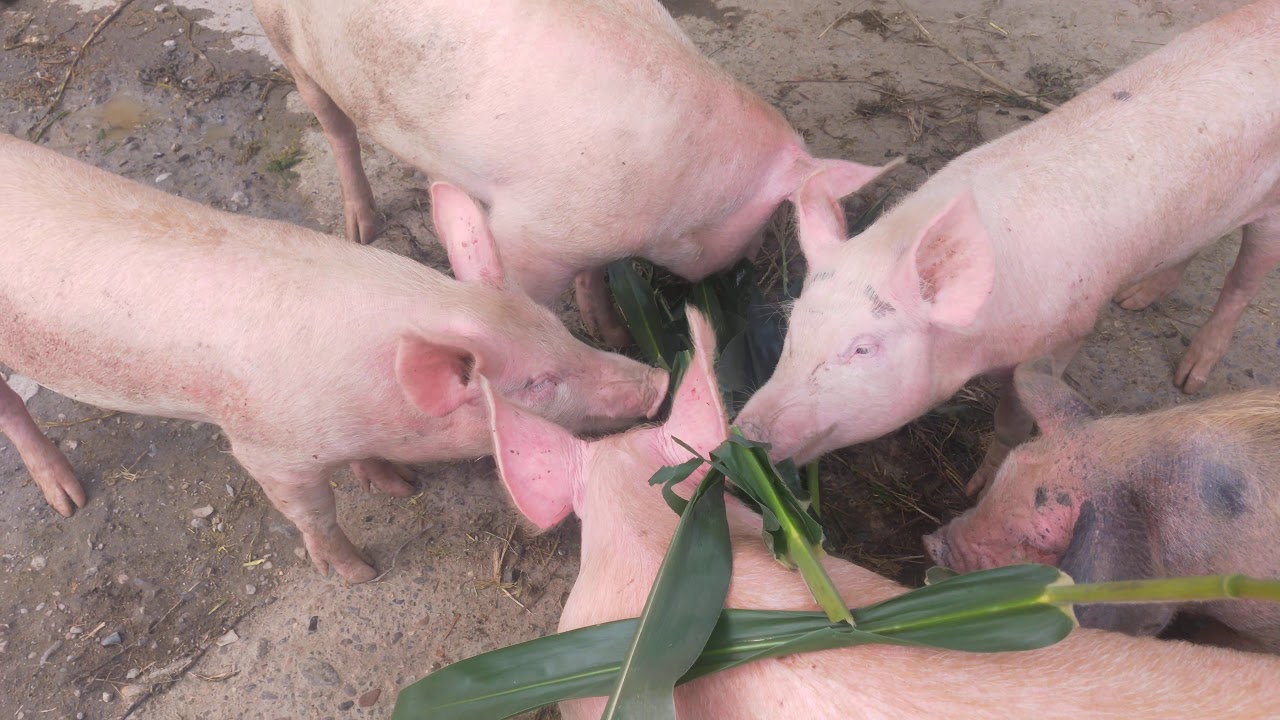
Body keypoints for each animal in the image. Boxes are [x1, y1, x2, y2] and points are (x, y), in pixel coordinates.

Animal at [0, 133, 665, 583]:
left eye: (559, 328)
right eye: (537, 383)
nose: (659, 379)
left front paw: (398, 484)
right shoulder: (266, 449)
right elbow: (313, 513)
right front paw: (362, 572)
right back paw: (69, 501)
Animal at [250, 0, 898, 345]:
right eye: (768, 220)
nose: (757, 259)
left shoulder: (589, 232)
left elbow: (597, 275)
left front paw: (618, 335)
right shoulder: (529, 233)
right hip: (285, 41)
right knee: (337, 129)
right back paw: (362, 231)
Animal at [736, 0, 1280, 494]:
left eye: (863, 348)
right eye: (793, 321)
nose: (745, 432)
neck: (981, 340)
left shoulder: (1063, 334)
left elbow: (1013, 425)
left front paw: (975, 491)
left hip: (1270, 210)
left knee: (1242, 281)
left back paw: (1190, 379)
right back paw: (1134, 300)